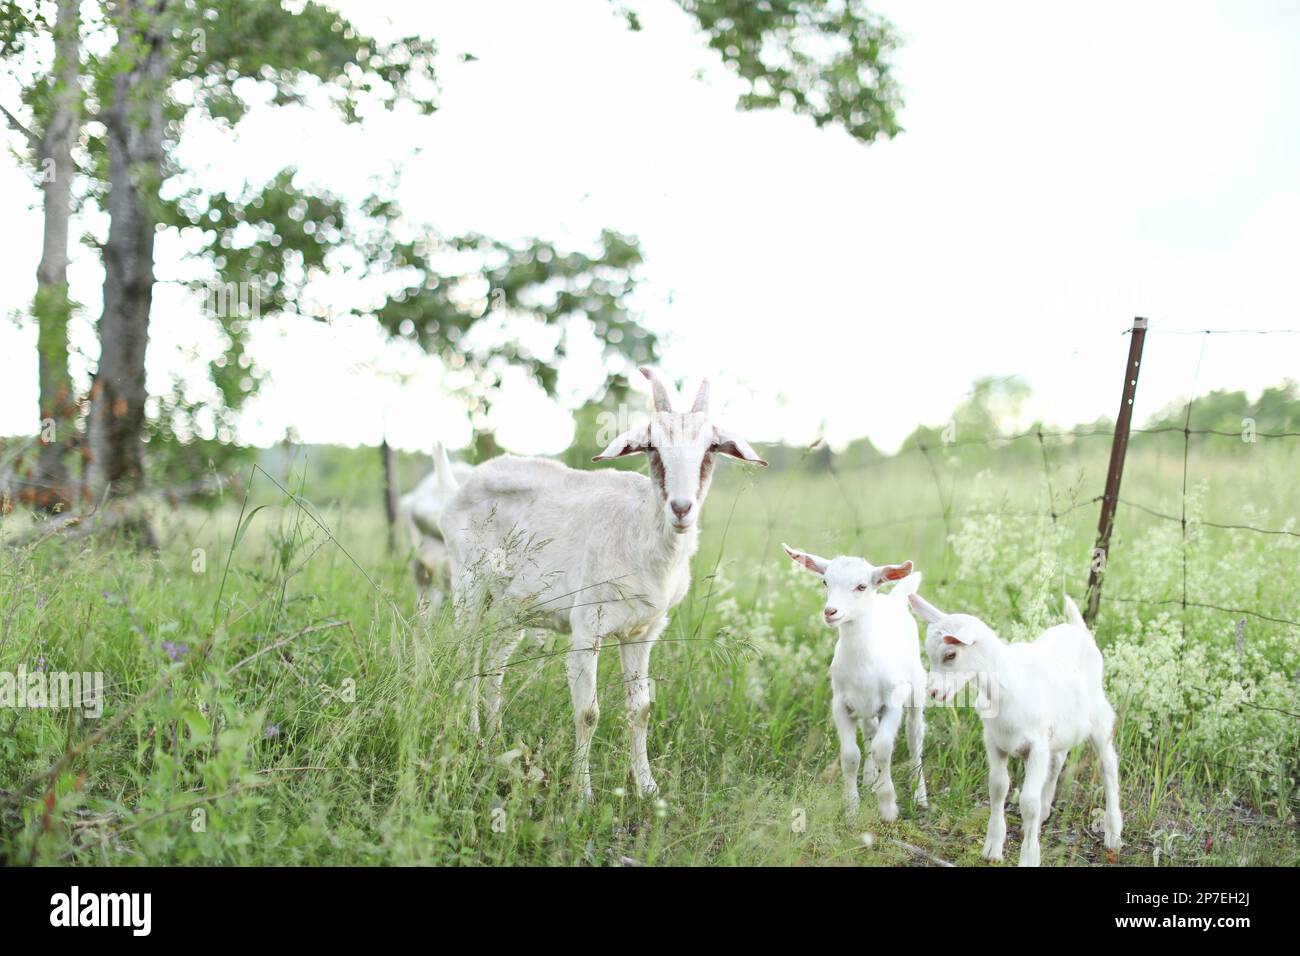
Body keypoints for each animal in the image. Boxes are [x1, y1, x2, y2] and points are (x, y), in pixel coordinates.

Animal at [438, 368, 766, 798]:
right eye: (652, 445)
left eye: (711, 447)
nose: (681, 508)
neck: (638, 530)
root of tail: (457, 488)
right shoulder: (585, 628)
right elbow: (588, 713)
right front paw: (583, 794)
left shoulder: (644, 632)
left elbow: (641, 709)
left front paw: (647, 787)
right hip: (469, 587)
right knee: (466, 658)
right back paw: (471, 737)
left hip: (514, 609)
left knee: (493, 665)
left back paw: (493, 741)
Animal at [783, 546, 927, 820]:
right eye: (825, 582)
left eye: (861, 586)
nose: (830, 612)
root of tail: (893, 599)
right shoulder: (840, 703)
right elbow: (850, 756)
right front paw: (851, 808)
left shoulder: (893, 703)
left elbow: (883, 749)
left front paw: (888, 807)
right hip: (866, 706)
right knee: (870, 731)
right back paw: (870, 780)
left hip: (916, 687)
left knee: (914, 736)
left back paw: (920, 795)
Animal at [909, 591, 1122, 866]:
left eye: (950, 655)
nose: (934, 692)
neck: (1006, 686)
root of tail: (1077, 629)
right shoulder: (994, 741)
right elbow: (998, 787)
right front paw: (993, 847)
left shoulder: (1037, 745)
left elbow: (1028, 802)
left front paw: (1029, 856)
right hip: (1060, 730)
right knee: (1058, 761)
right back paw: (1045, 812)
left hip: (1098, 720)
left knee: (1108, 767)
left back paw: (1113, 834)